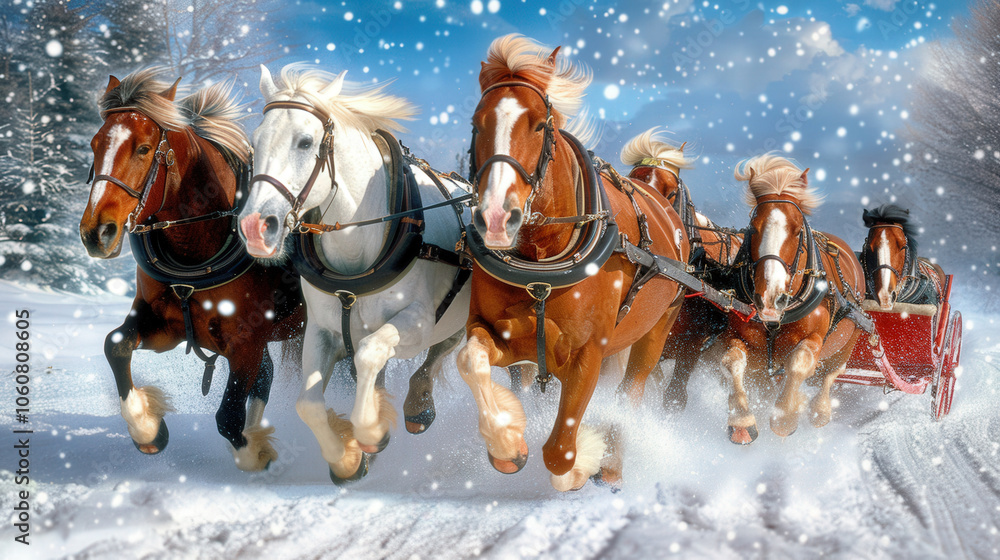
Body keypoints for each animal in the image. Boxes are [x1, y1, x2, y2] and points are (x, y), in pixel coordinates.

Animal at [79, 69, 304, 471]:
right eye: (95, 144)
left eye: (143, 148)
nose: (96, 232)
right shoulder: (166, 325)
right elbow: (115, 344)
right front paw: (147, 429)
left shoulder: (246, 340)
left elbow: (227, 417)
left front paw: (254, 453)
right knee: (266, 377)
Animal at [238, 64, 474, 483]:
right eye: (256, 141)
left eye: (305, 142)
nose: (254, 227)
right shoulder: (322, 330)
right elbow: (308, 404)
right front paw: (345, 459)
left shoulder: (415, 322)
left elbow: (368, 353)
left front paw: (371, 430)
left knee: (441, 349)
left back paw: (418, 406)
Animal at [458, 35, 689, 491]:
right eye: (476, 123)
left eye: (538, 125)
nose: (495, 217)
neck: (543, 263)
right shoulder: (500, 335)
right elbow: (470, 360)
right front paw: (506, 444)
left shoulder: (587, 356)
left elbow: (559, 454)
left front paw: (585, 459)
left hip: (657, 331)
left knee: (630, 395)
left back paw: (612, 465)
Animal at [718, 154, 866, 444]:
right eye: (753, 228)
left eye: (798, 230)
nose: (770, 297)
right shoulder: (740, 335)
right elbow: (731, 362)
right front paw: (741, 421)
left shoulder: (814, 339)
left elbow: (799, 365)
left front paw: (784, 417)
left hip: (847, 343)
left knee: (830, 375)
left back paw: (818, 409)